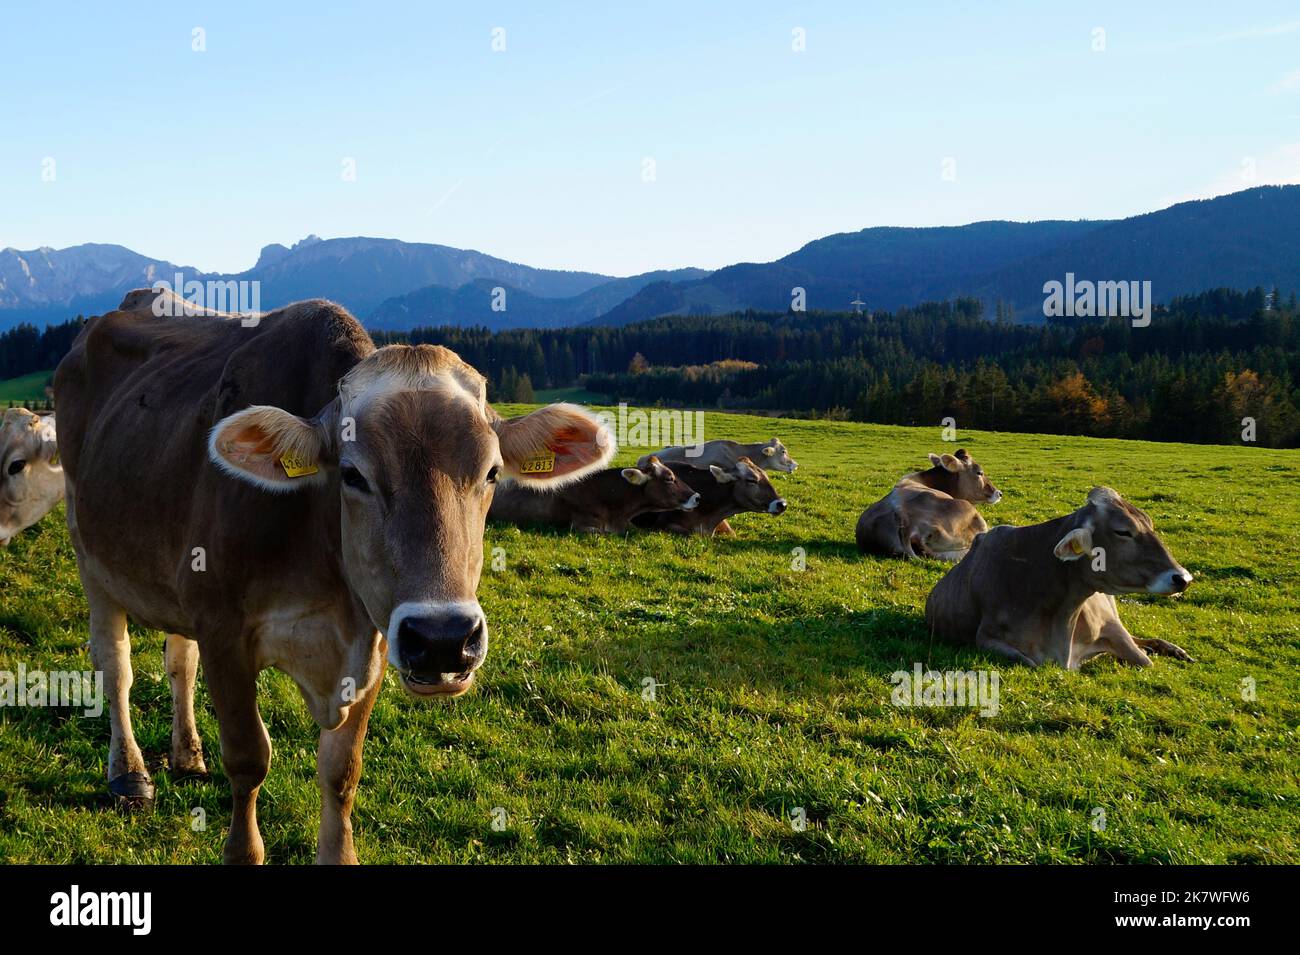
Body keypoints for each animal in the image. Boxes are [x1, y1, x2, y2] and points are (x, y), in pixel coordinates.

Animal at [53, 294, 614, 864]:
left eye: (493, 472)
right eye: (352, 474)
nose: (443, 640)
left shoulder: (376, 637)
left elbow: (342, 772)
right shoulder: (223, 630)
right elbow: (248, 758)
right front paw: (241, 847)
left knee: (178, 661)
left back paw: (187, 755)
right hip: (88, 547)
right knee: (115, 664)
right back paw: (129, 774)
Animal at [924, 486, 1195, 670]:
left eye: (1149, 522)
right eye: (1123, 531)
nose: (1183, 578)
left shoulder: (1111, 627)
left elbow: (1143, 659)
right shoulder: (987, 638)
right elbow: (1030, 662)